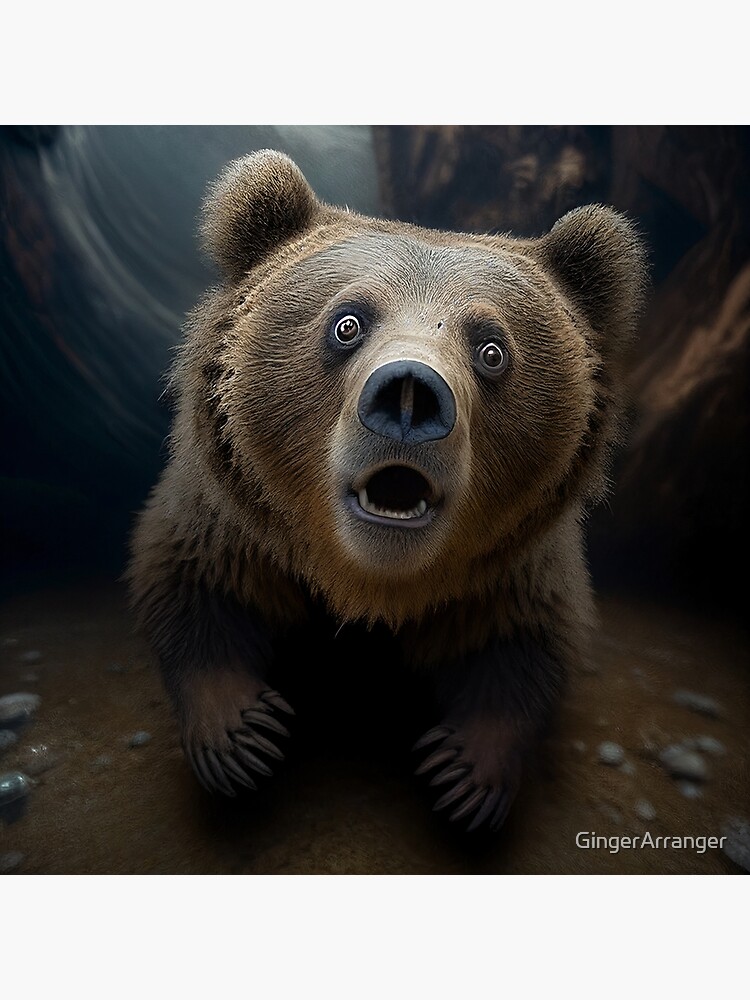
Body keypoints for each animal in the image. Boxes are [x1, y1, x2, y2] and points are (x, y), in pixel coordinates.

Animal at [128, 149, 646, 833]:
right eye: (347, 323)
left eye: (492, 349)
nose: (409, 396)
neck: (370, 582)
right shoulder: (231, 525)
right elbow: (191, 584)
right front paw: (242, 738)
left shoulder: (510, 573)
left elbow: (525, 643)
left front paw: (464, 774)